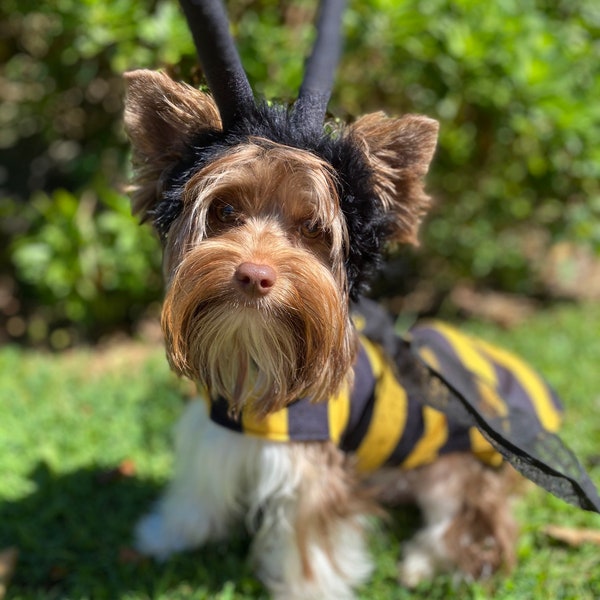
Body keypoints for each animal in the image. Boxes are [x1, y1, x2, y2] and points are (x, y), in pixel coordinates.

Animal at [122, 2, 600, 596]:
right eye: (226, 211)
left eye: (314, 229)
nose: (254, 274)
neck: (255, 360)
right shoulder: (216, 434)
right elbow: (200, 490)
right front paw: (168, 535)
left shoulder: (314, 468)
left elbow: (311, 540)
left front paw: (308, 587)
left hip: (460, 463)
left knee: (477, 521)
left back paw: (423, 563)